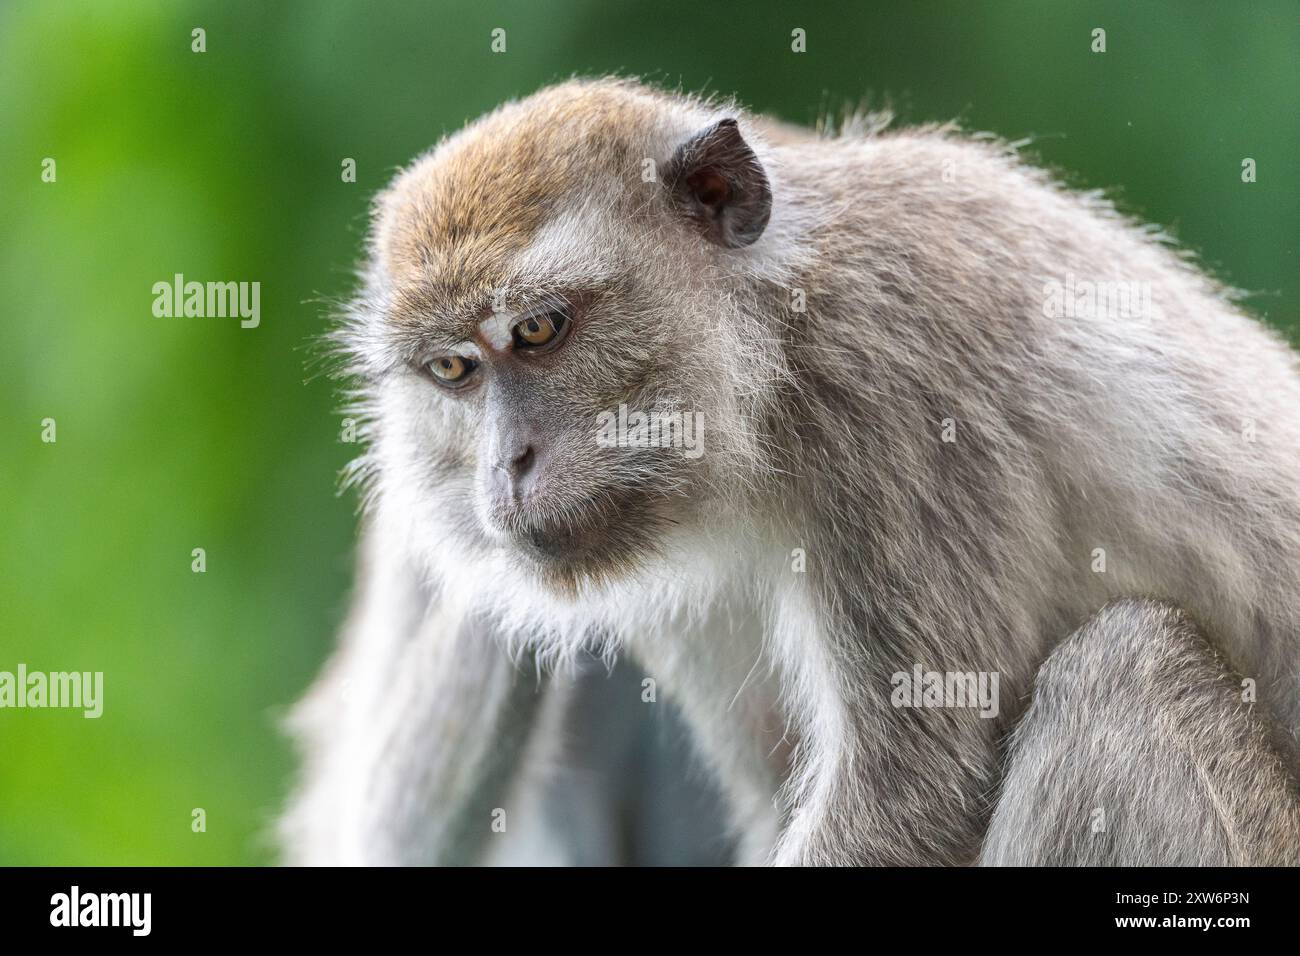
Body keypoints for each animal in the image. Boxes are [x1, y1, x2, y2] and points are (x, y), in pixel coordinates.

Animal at [282, 77, 1300, 866]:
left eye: (538, 330)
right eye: (454, 370)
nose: (508, 463)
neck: (775, 348)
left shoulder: (896, 396)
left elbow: (906, 794)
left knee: (1124, 666)